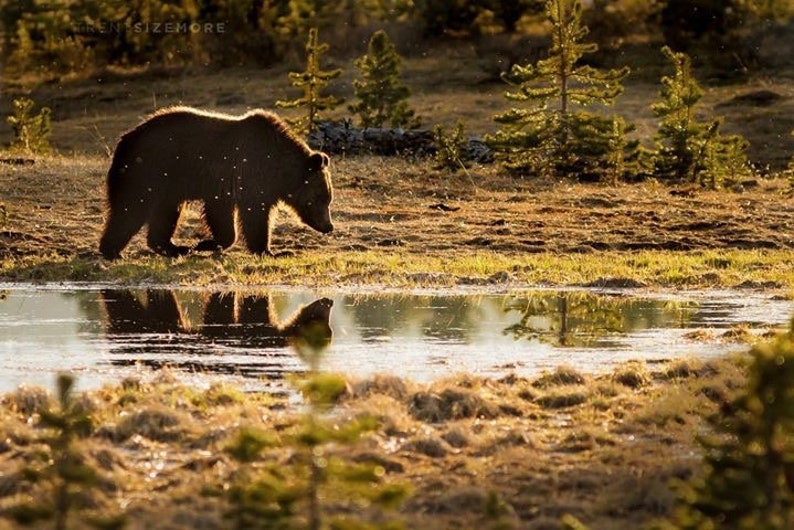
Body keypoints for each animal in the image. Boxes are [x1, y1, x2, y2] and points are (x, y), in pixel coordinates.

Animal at [98, 106, 334, 260]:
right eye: (323, 198)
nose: (329, 226)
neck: (279, 169)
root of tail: (125, 139)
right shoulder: (249, 174)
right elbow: (253, 217)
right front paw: (270, 251)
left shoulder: (225, 186)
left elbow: (223, 215)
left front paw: (205, 244)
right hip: (148, 171)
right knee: (130, 209)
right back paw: (112, 251)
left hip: (168, 186)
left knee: (166, 213)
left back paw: (175, 248)